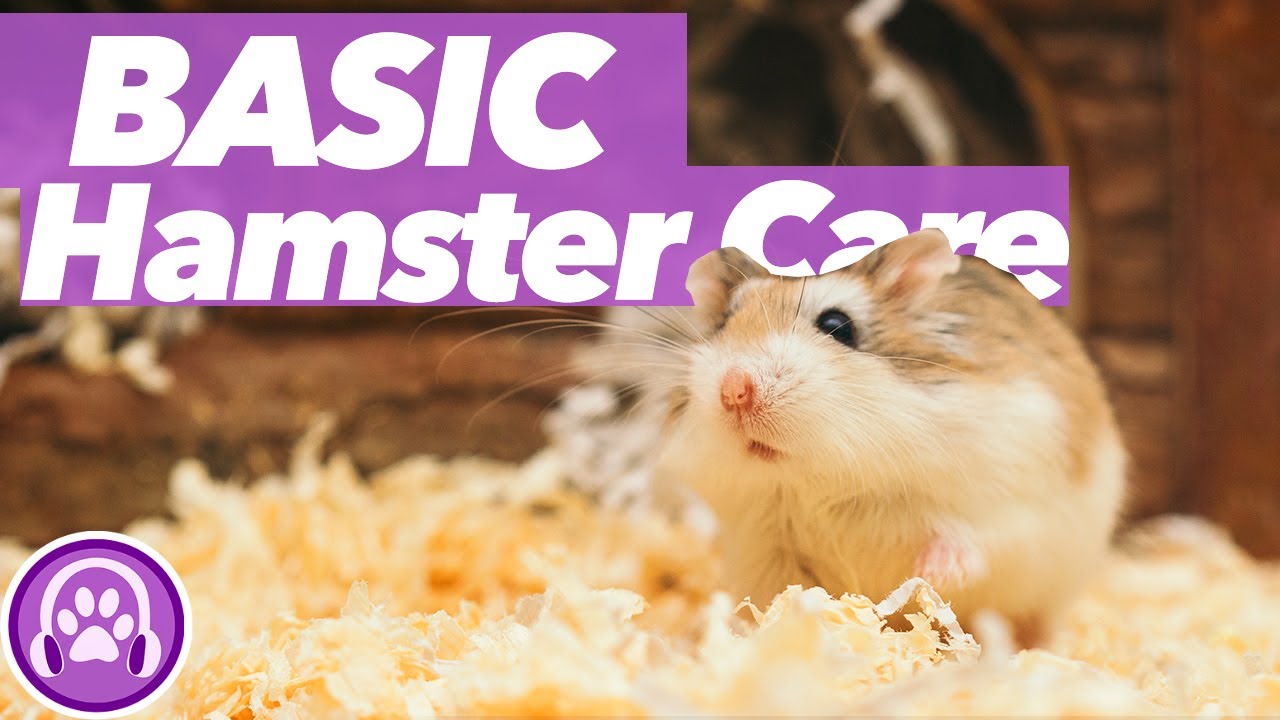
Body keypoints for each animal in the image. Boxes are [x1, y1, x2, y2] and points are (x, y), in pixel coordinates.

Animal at [567, 228, 1126, 647]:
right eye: (725, 322)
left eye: (838, 326)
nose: (733, 390)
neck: (823, 477)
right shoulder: (764, 545)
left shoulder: (1007, 501)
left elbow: (968, 539)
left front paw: (931, 577)